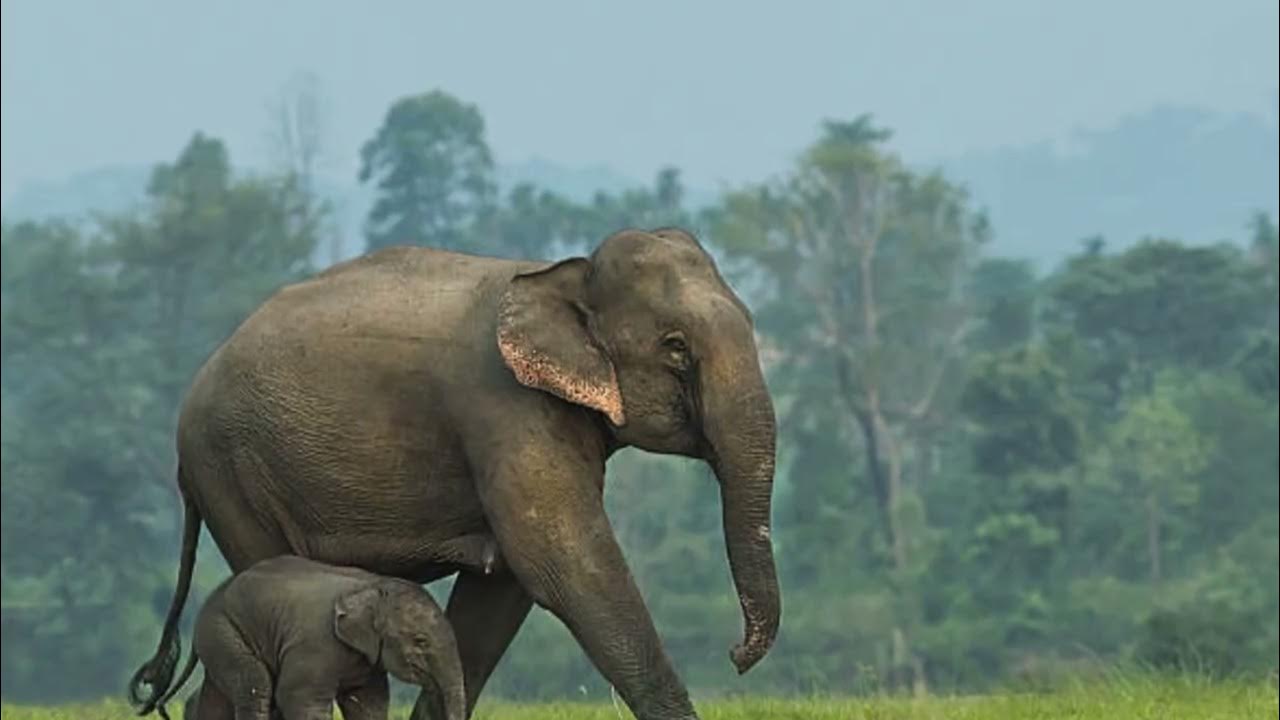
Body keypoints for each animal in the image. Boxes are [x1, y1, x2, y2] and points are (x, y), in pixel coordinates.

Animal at [156, 555, 467, 720]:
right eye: (421, 641)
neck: (374, 584)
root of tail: (212, 597)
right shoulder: (317, 645)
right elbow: (299, 697)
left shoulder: (369, 661)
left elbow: (368, 704)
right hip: (224, 629)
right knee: (256, 684)